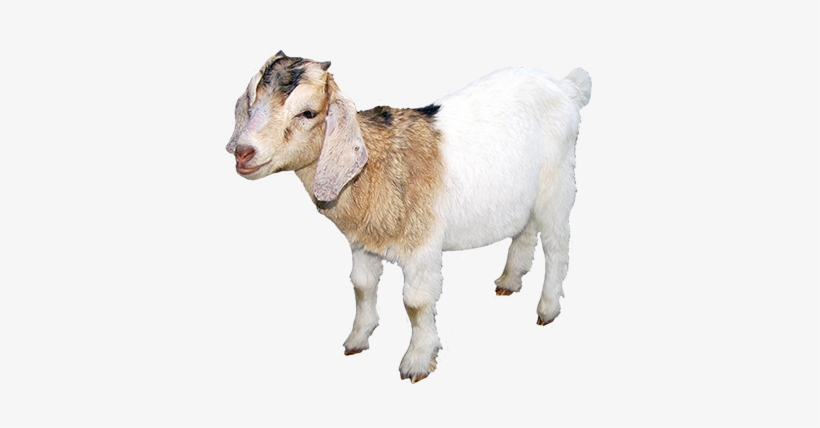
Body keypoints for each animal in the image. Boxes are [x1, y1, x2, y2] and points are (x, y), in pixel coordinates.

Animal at [226, 51, 591, 383]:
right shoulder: (362, 243)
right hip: (523, 194)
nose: (243, 152)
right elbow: (362, 286)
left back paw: (547, 308)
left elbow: (415, 303)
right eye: (252, 103)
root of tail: (565, 86)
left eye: (308, 112)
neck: (374, 165)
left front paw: (417, 361)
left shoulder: (422, 245)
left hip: (557, 184)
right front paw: (357, 339)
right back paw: (510, 280)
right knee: (525, 229)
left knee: (557, 246)